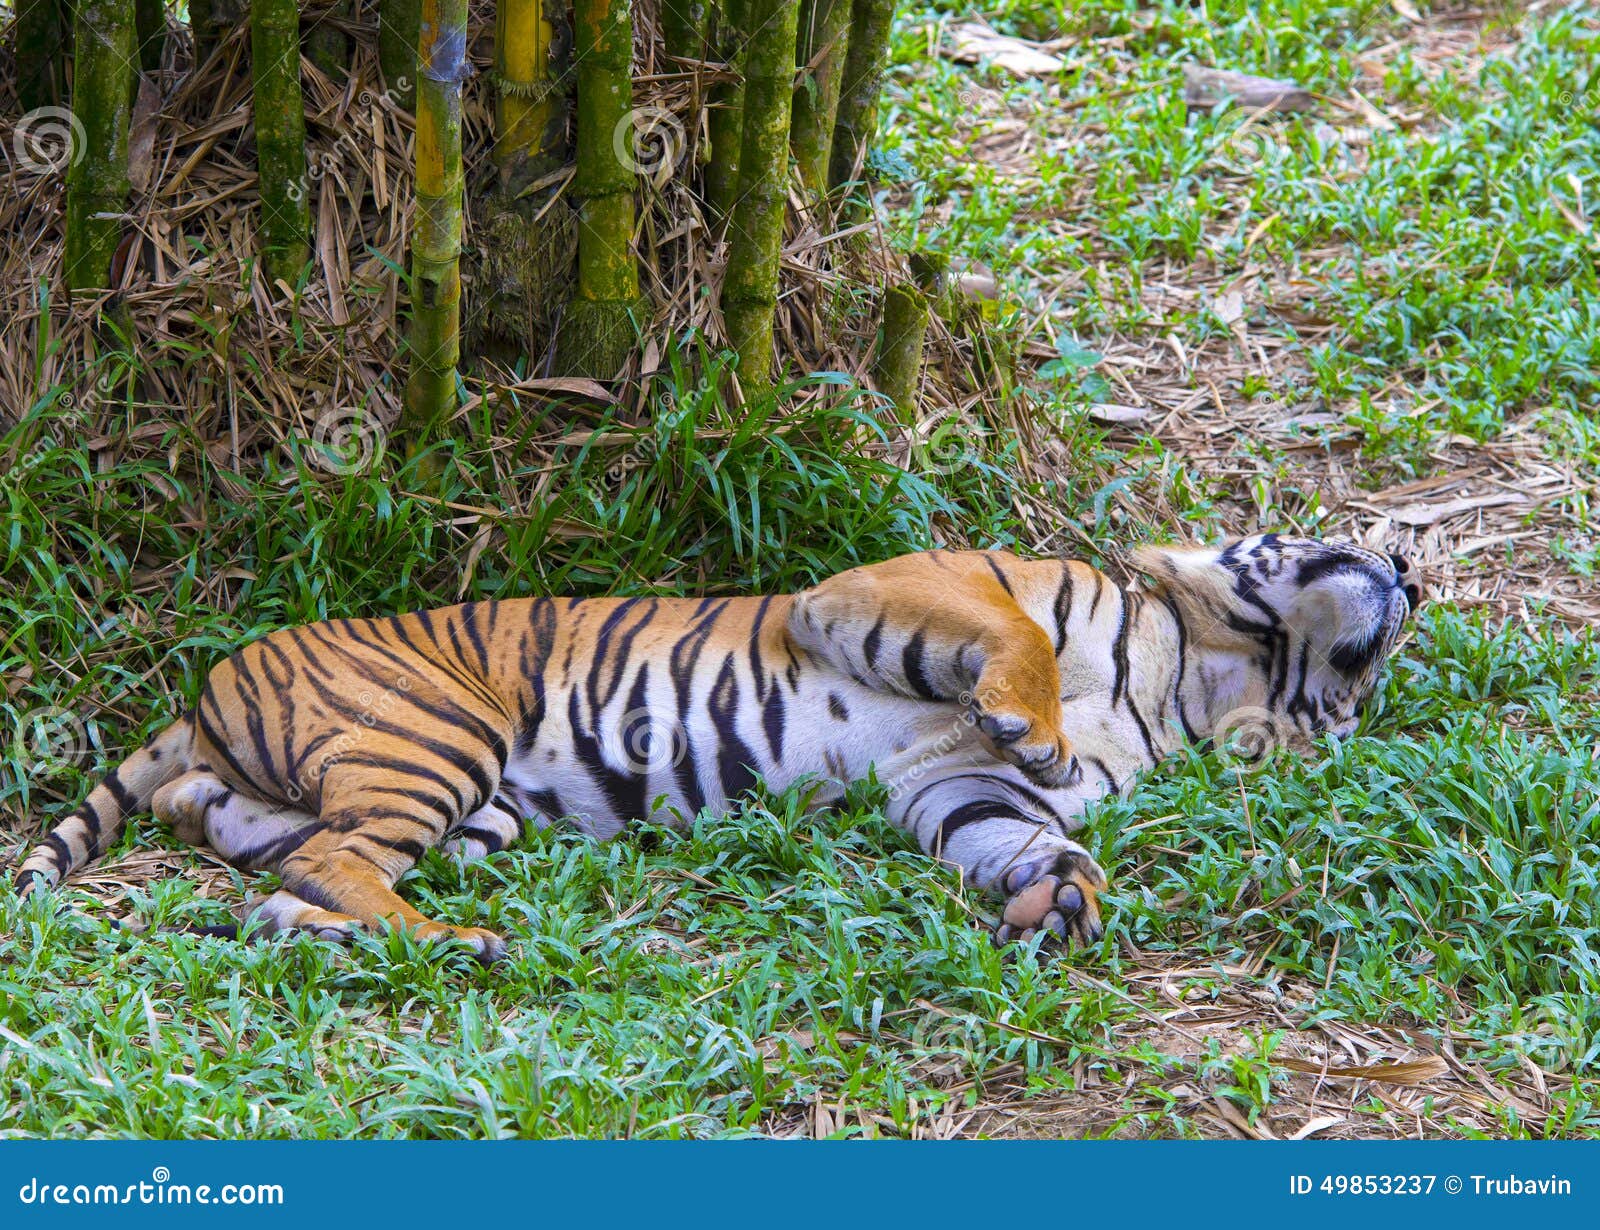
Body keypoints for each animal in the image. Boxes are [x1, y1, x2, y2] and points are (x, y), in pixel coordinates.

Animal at [14, 534, 1421, 963]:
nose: (1411, 567)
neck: (1188, 678)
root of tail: (205, 685)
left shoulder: (950, 783)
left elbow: (1012, 833)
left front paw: (1055, 897)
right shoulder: (900, 584)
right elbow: (1013, 640)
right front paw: (1034, 718)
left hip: (434, 802)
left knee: (281, 864)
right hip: (435, 734)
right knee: (335, 862)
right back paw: (464, 942)